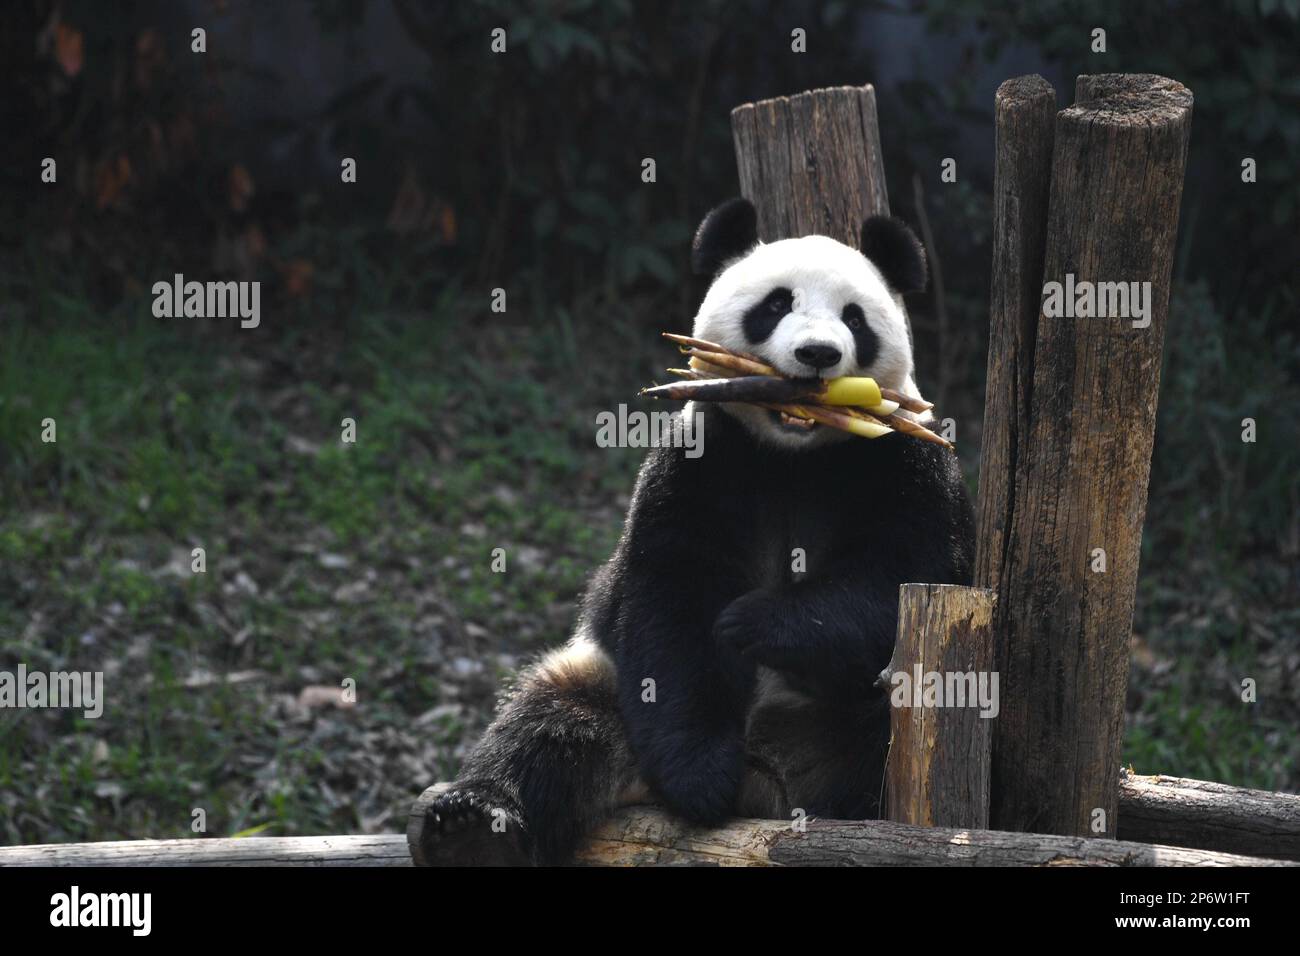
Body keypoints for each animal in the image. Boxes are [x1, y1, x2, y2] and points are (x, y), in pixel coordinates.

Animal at [418, 197, 975, 865]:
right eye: (775, 305)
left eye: (854, 318)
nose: (818, 354)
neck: (796, 454)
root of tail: (767, 783)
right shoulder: (700, 458)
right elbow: (673, 600)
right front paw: (701, 778)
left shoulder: (905, 460)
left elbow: (902, 576)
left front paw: (752, 622)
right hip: (605, 688)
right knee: (549, 726)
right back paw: (473, 828)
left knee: (873, 730)